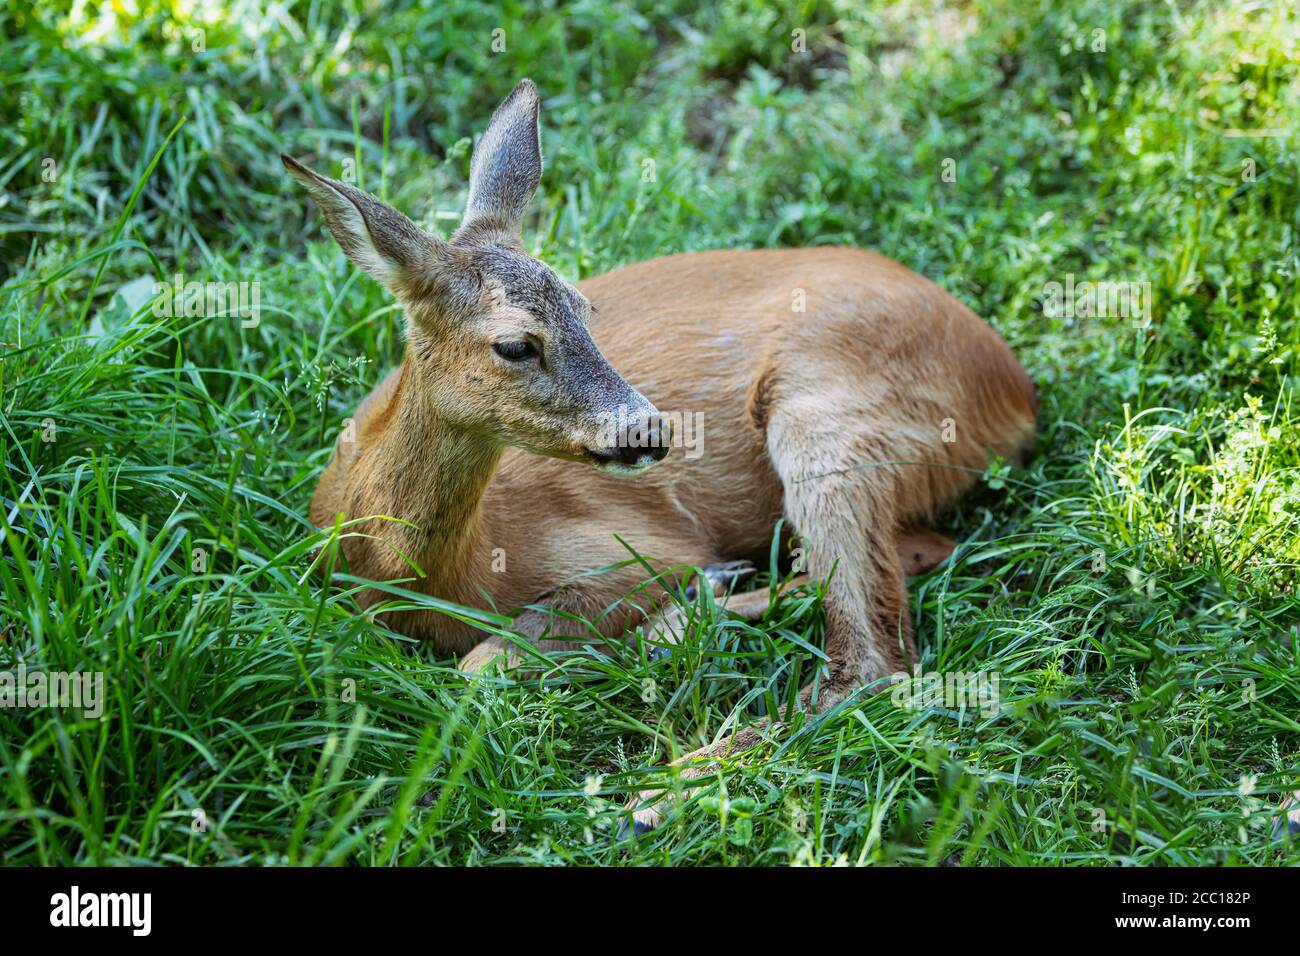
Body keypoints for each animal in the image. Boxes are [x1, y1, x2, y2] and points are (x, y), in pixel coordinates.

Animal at [283, 78, 1037, 835]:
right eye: (516, 344)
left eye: (586, 309)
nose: (650, 431)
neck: (432, 576)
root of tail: (1015, 390)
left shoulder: (629, 549)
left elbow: (484, 662)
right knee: (915, 556)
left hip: (827, 411)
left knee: (873, 658)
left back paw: (658, 789)